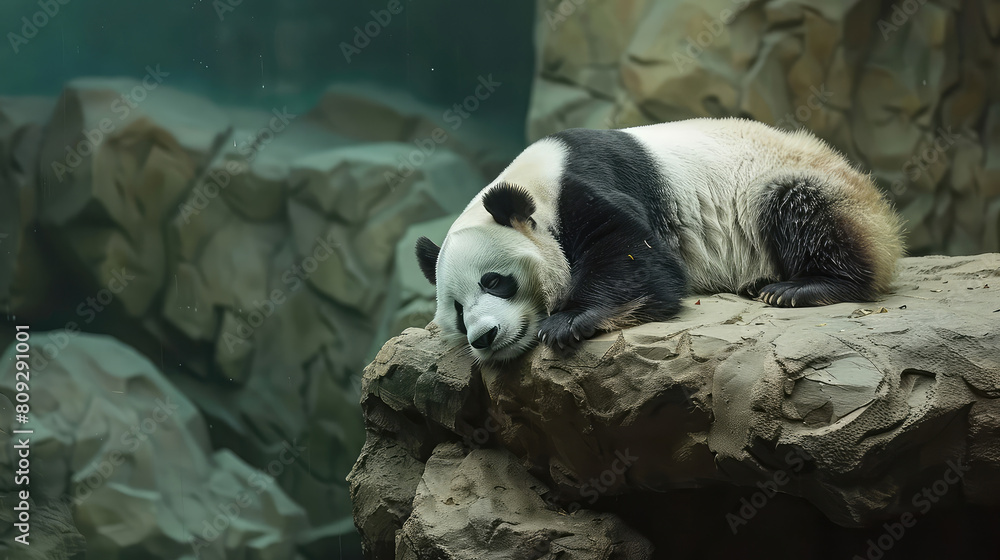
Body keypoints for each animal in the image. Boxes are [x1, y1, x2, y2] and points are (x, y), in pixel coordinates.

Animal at [415, 118, 904, 364]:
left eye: (495, 282)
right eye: (456, 310)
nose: (484, 336)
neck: (534, 181)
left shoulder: (585, 184)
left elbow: (637, 255)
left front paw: (569, 320)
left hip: (795, 181)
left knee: (800, 207)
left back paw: (802, 288)